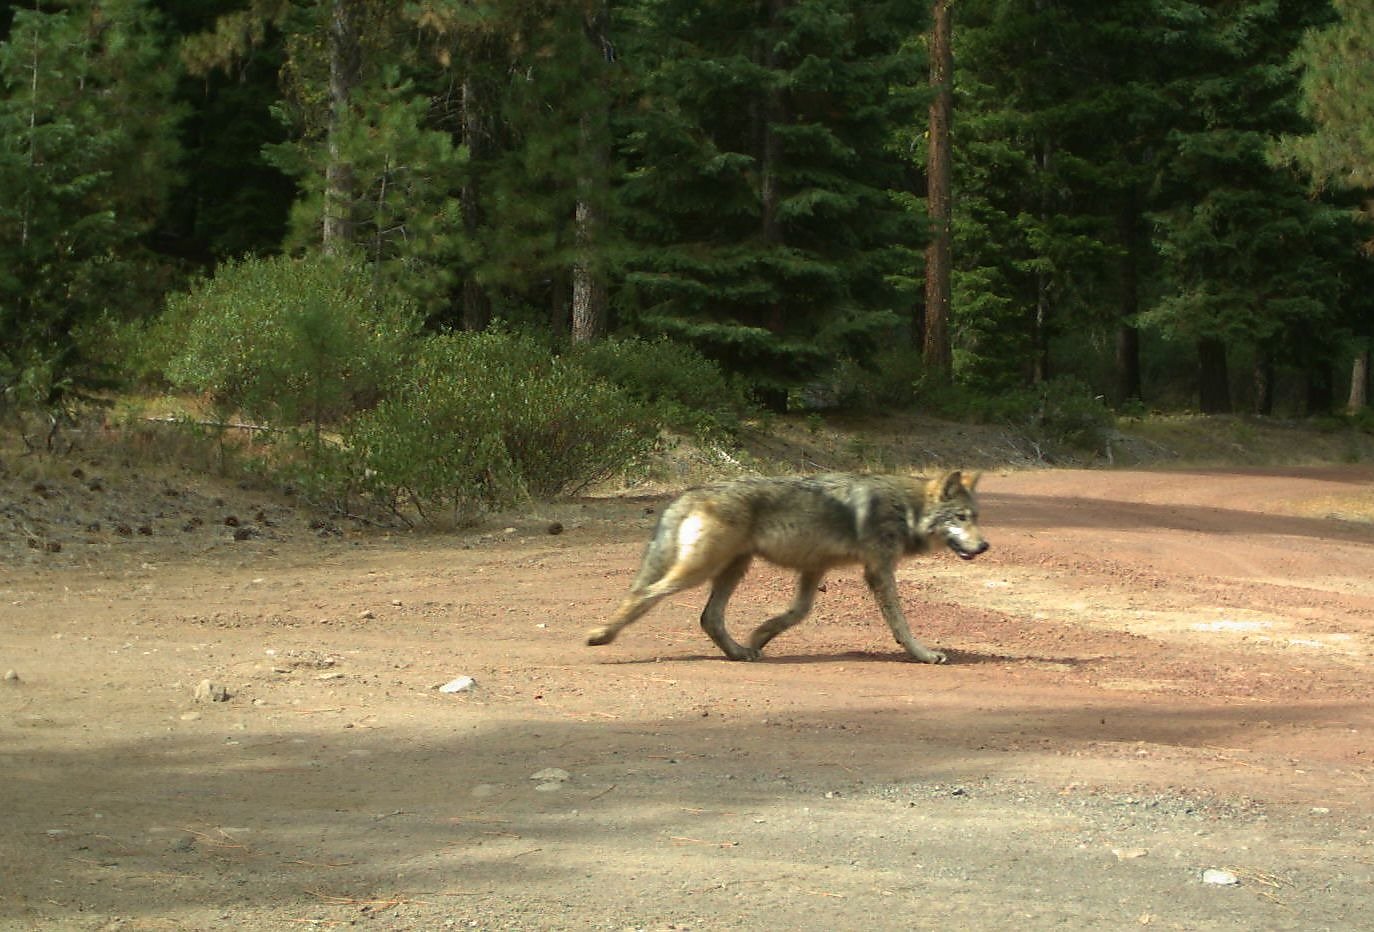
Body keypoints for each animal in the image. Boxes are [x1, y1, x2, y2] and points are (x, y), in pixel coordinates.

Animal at [586, 470, 988, 663]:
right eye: (961, 517)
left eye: (975, 517)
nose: (984, 545)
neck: (907, 509)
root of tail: (691, 492)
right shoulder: (878, 571)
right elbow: (901, 625)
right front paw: (924, 655)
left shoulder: (815, 569)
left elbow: (797, 613)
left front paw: (759, 635)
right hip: (699, 571)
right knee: (644, 593)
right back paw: (601, 636)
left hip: (734, 568)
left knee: (709, 618)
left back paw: (740, 652)